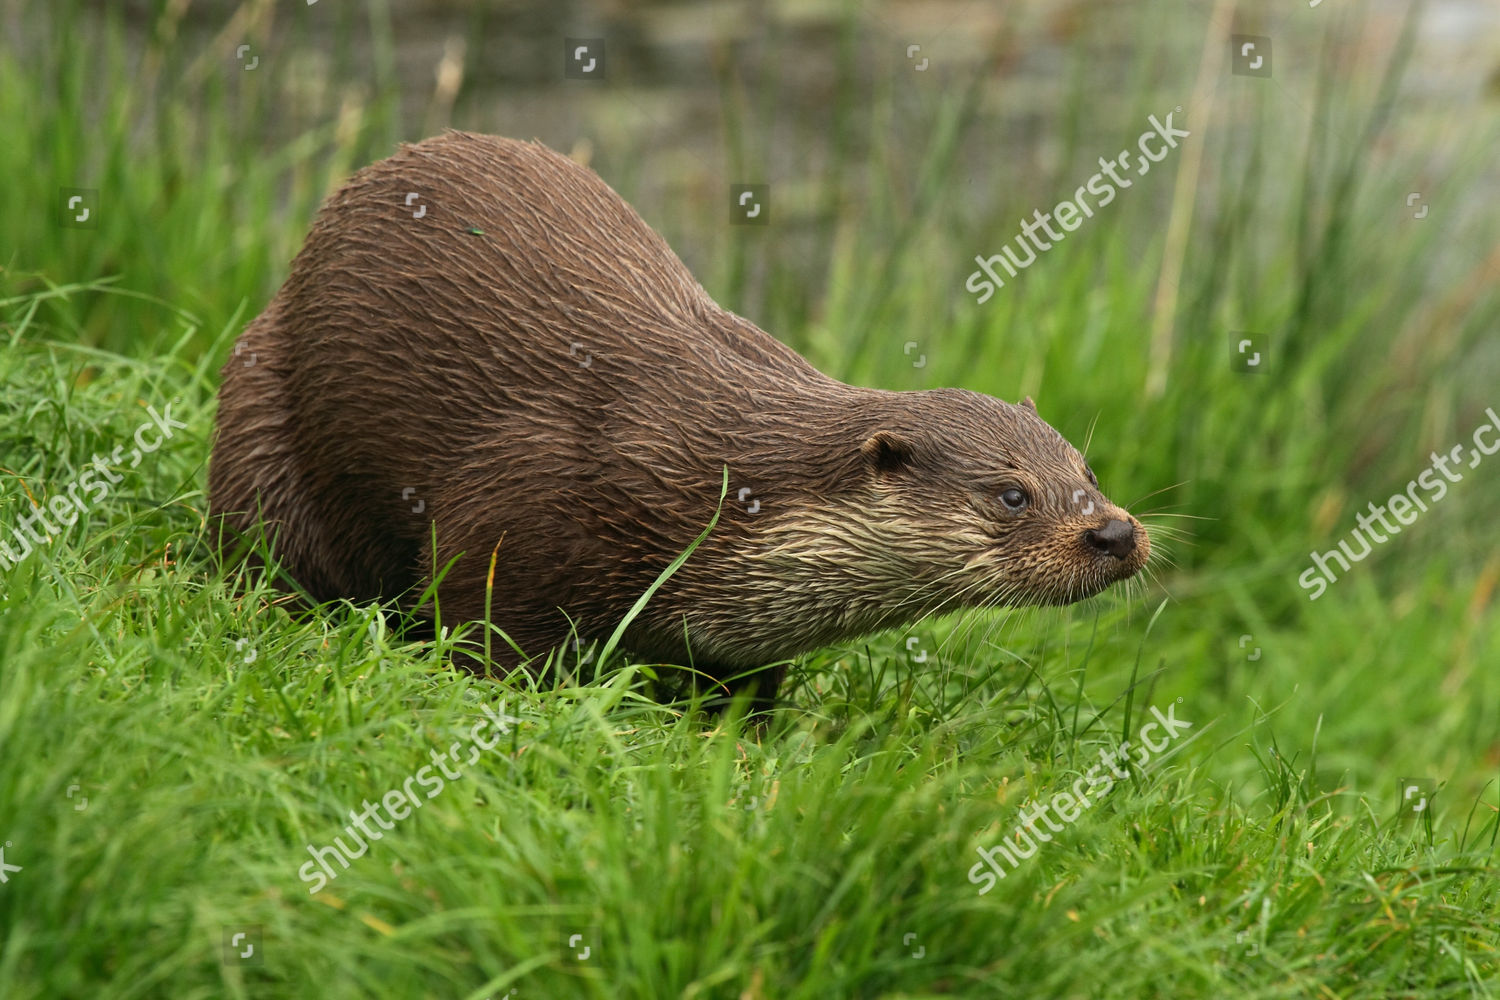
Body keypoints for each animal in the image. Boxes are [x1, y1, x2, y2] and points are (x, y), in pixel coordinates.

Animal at [208, 131, 1149, 704]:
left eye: (1089, 471)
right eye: (1012, 496)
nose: (1114, 532)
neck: (714, 494)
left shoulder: (744, 639)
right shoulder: (518, 511)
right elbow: (485, 636)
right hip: (261, 423)